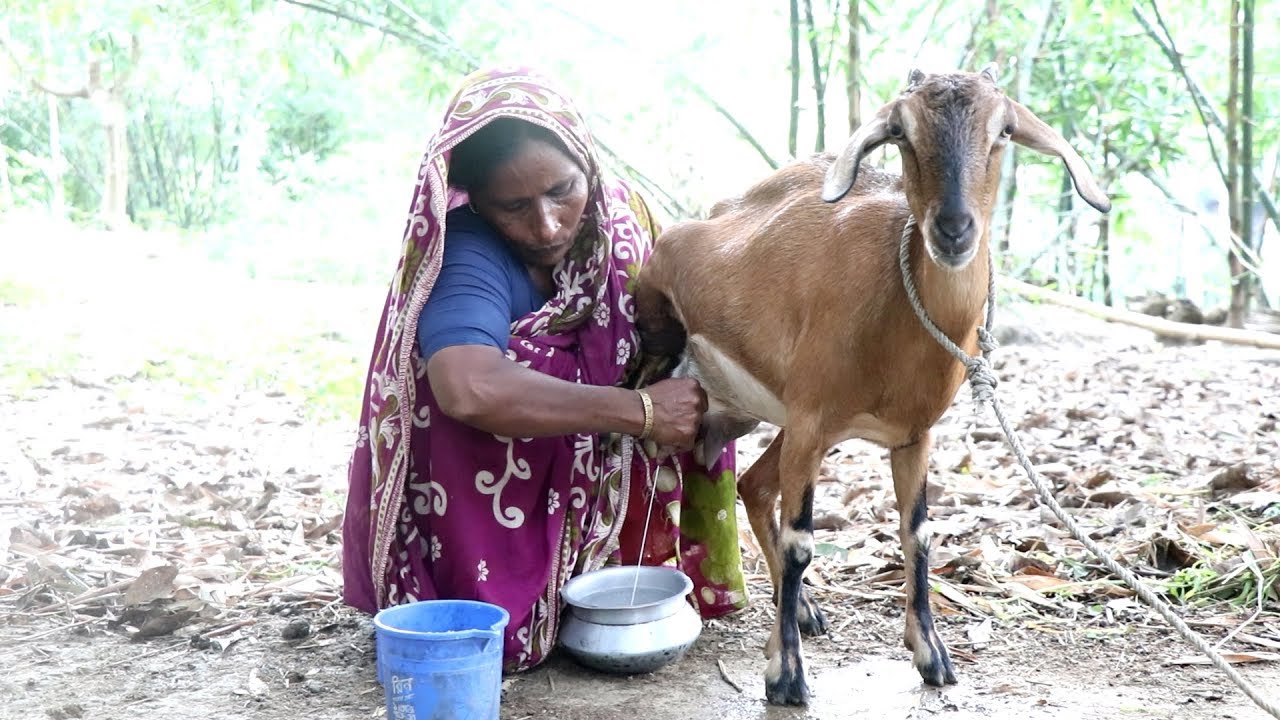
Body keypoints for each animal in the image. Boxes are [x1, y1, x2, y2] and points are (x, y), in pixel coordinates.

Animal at [635, 65, 1110, 706]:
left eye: (1004, 130)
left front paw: (932, 655)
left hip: (778, 417)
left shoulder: (911, 436)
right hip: (695, 368)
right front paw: (786, 676)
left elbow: (919, 535)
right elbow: (801, 541)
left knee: (755, 485)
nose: (954, 230)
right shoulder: (812, 422)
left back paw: (803, 609)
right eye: (902, 133)